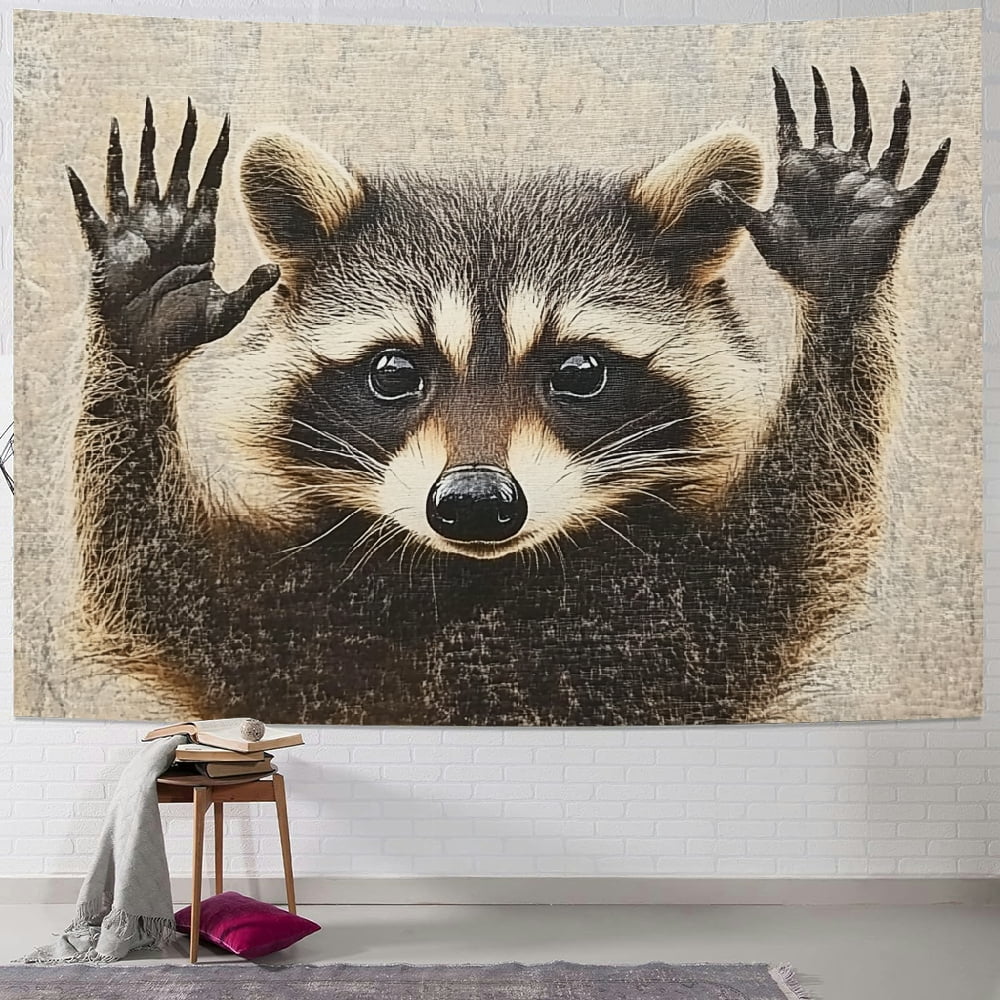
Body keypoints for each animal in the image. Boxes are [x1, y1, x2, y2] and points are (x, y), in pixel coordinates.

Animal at [64, 68, 949, 724]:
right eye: (395, 373)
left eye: (580, 372)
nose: (476, 503)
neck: (479, 579)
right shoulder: (278, 620)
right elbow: (145, 571)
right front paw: (145, 315)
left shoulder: (700, 612)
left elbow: (812, 507)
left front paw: (838, 268)